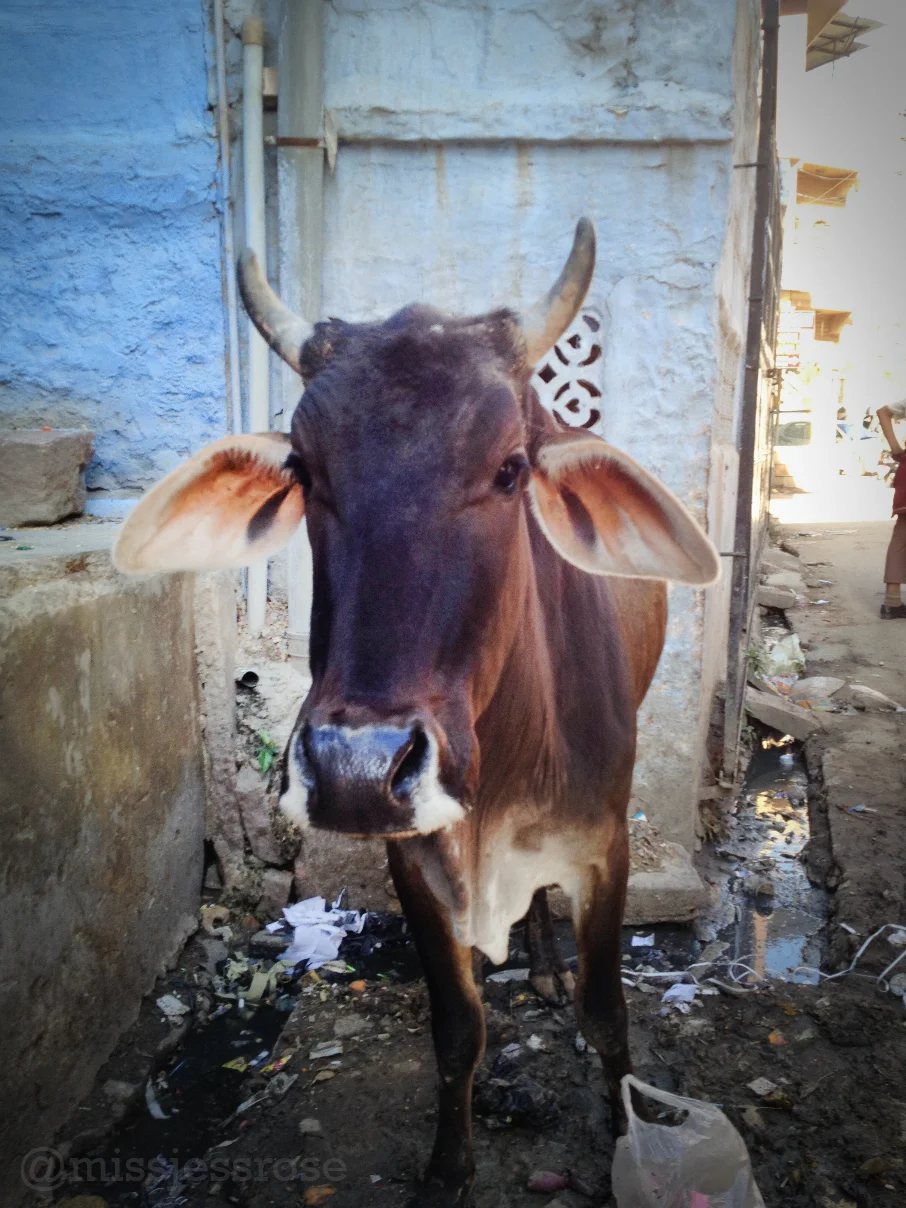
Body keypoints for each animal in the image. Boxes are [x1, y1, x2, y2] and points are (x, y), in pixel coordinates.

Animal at [115, 220, 718, 1206]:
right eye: (305, 468)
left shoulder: (603, 846)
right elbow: (457, 1031)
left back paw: (543, 967)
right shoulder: (412, 858)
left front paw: (623, 1129)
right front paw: (447, 1168)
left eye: (510, 468)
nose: (358, 769)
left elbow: (608, 1016)